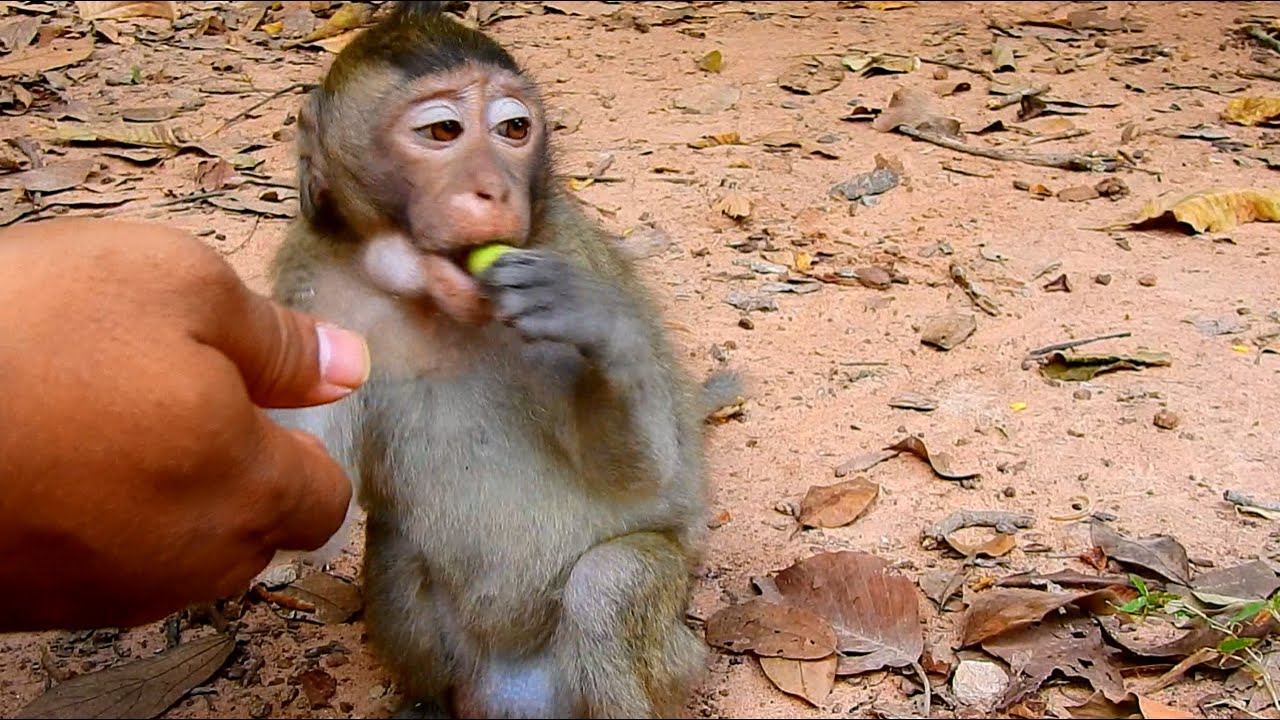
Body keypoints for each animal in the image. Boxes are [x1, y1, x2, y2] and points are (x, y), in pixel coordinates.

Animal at [264, 2, 740, 718]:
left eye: (514, 128)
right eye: (443, 131)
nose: (493, 189)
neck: (433, 301)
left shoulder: (566, 248)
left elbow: (640, 472)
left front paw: (591, 318)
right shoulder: (311, 282)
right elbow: (321, 523)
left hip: (675, 656)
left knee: (608, 584)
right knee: (395, 549)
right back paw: (427, 703)